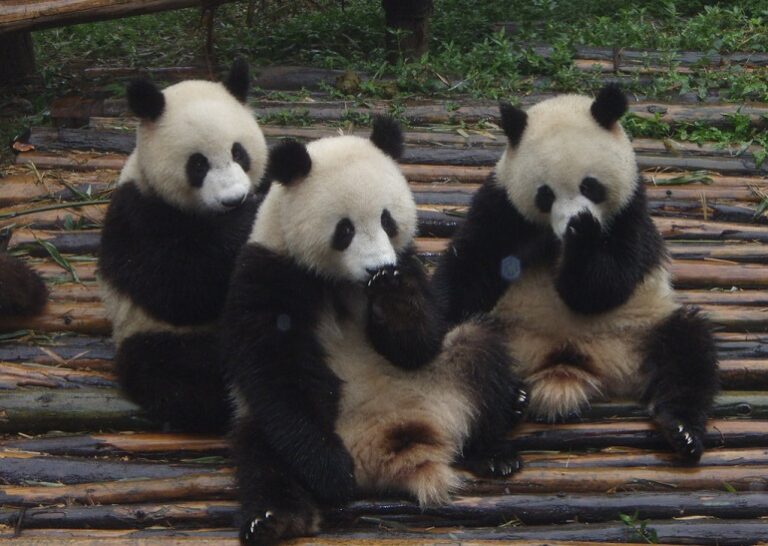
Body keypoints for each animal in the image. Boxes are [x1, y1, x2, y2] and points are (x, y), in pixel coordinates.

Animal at [99, 59, 268, 432]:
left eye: (239, 152)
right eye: (198, 163)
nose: (234, 199)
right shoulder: (140, 214)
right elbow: (177, 288)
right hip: (153, 334)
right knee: (177, 373)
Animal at [222, 117, 528, 545]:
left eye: (387, 220)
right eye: (345, 230)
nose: (378, 267)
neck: (345, 284)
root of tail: (396, 446)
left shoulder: (409, 263)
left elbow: (418, 343)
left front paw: (394, 297)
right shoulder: (268, 274)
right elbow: (276, 371)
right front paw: (332, 473)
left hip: (442, 381)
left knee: (478, 351)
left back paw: (493, 452)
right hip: (272, 427)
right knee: (263, 453)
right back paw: (274, 519)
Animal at [432, 84, 719, 462]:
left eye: (590, 186)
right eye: (545, 194)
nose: (570, 222)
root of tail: (566, 362)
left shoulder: (631, 214)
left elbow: (601, 288)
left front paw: (582, 235)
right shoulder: (500, 204)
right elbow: (471, 265)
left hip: (638, 330)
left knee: (688, 347)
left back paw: (682, 430)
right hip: (509, 331)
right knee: (472, 356)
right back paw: (502, 426)